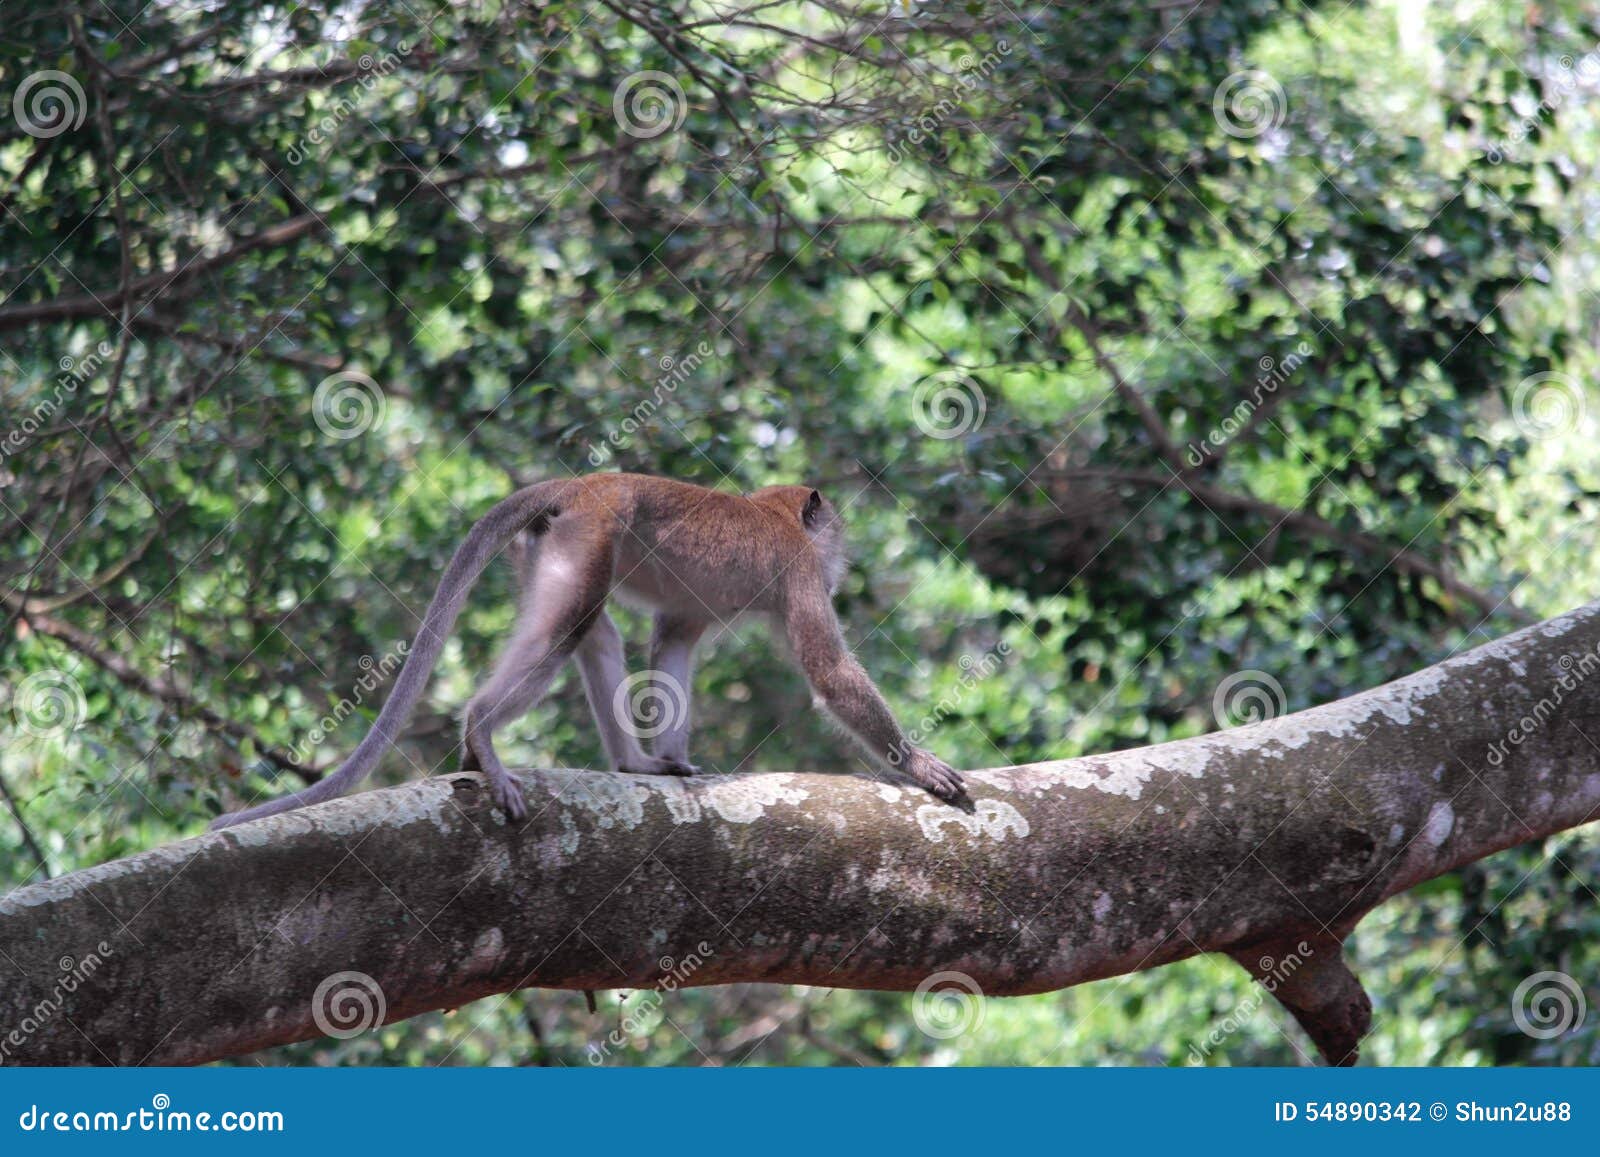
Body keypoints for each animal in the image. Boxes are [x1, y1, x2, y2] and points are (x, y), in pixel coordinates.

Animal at [210, 474, 967, 830]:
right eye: (832, 535)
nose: (843, 565)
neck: (772, 512)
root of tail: (584, 483)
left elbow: (672, 641)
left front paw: (673, 758)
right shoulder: (800, 570)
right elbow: (830, 673)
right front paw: (917, 762)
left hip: (553, 543)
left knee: (592, 631)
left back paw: (634, 763)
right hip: (589, 534)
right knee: (569, 626)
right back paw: (481, 734)